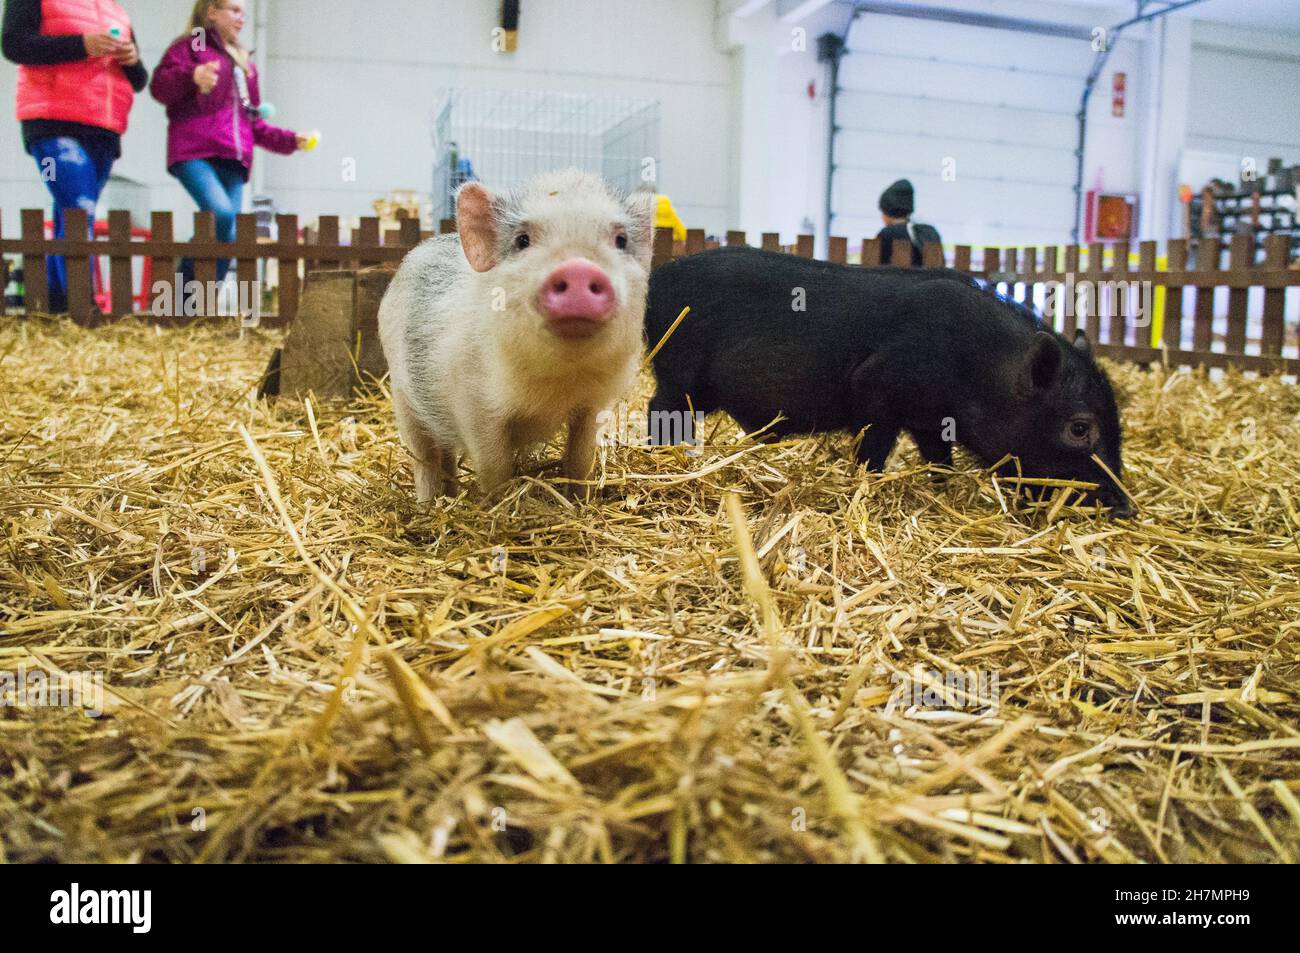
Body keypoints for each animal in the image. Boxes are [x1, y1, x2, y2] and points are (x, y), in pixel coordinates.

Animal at [378, 169, 655, 500]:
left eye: (621, 240)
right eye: (522, 240)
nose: (578, 267)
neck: (559, 380)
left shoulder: (595, 403)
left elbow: (580, 459)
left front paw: (580, 500)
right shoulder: (473, 404)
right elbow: (495, 467)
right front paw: (499, 502)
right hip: (402, 398)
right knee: (425, 458)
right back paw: (429, 502)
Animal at [644, 247, 1131, 515]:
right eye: (1080, 428)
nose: (1125, 508)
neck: (980, 367)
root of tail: (656, 278)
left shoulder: (930, 421)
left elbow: (940, 461)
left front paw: (940, 488)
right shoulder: (877, 389)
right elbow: (873, 450)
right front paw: (867, 484)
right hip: (679, 371)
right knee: (657, 409)